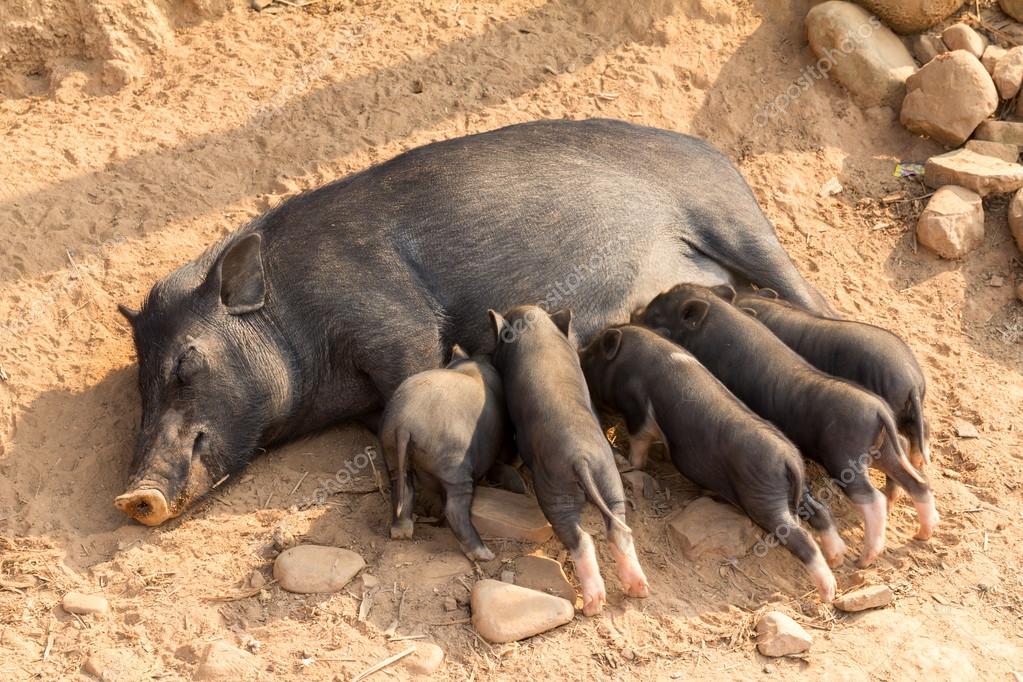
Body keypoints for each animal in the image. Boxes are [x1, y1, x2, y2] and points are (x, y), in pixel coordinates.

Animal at [114, 118, 831, 526]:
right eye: (139, 387)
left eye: (186, 362)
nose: (134, 498)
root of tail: (713, 151)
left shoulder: (393, 319)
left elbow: (413, 379)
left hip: (734, 215)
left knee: (806, 293)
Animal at [380, 345, 513, 561]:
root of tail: (404, 426)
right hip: (454, 463)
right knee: (454, 508)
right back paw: (485, 554)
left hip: (389, 447)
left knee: (403, 488)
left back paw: (401, 533)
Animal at [489, 305, 649, 615]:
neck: (538, 331)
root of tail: (581, 458)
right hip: (609, 479)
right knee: (619, 529)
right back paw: (639, 589)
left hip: (554, 491)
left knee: (581, 537)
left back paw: (592, 606)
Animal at [579, 324, 840, 601]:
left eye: (594, 352)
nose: (579, 352)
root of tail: (790, 459)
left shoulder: (637, 411)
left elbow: (639, 445)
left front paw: (627, 462)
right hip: (794, 491)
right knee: (820, 510)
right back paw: (839, 557)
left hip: (764, 499)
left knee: (802, 538)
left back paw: (828, 592)